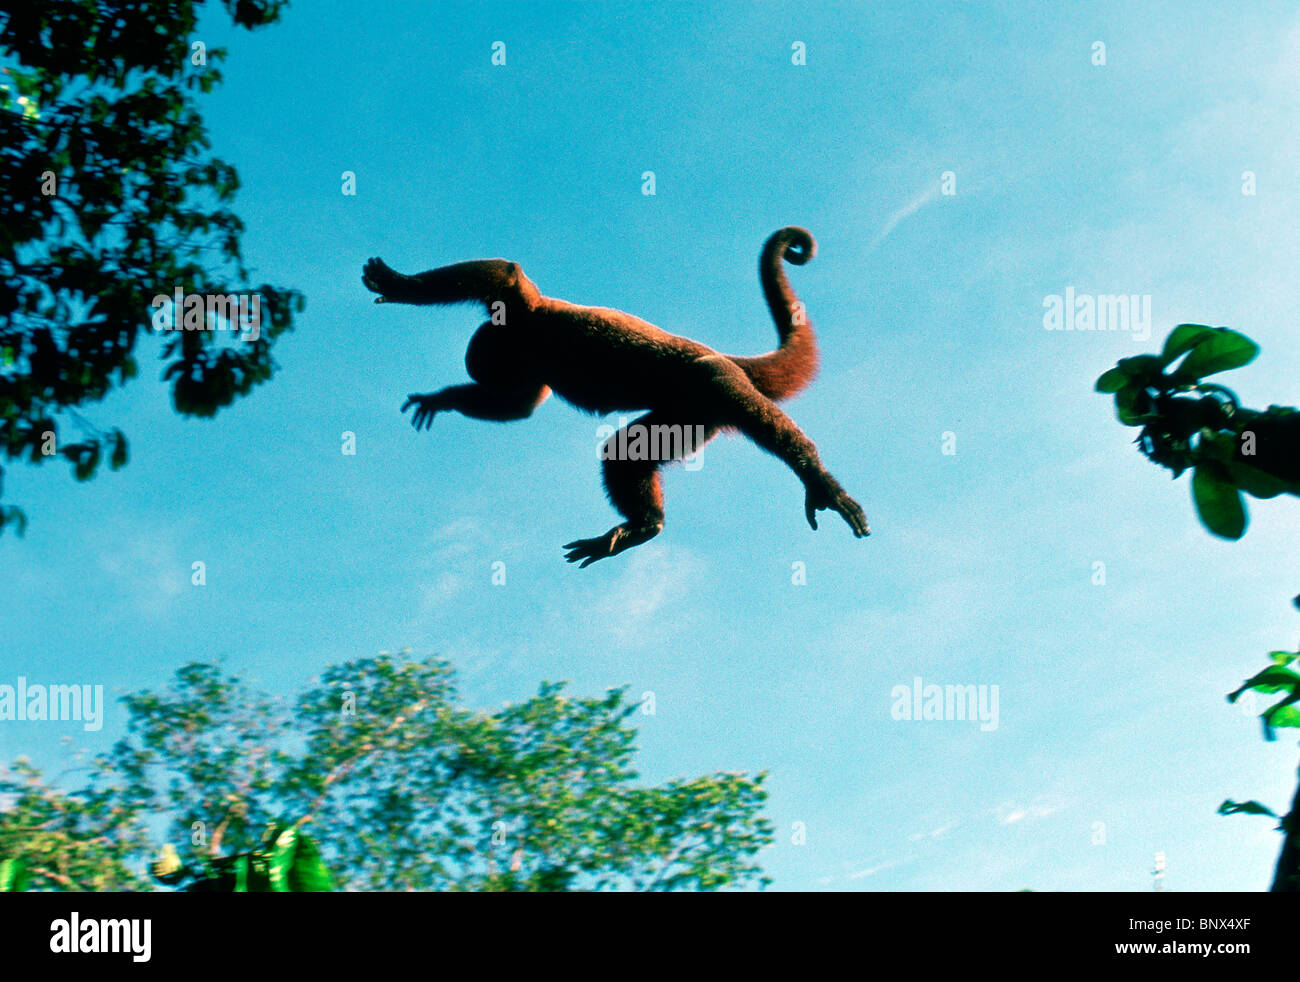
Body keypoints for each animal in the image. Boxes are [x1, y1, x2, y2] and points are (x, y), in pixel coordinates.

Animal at [362, 226, 869, 567]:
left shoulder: (525, 315)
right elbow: (522, 406)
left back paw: (817, 478)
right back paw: (645, 526)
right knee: (625, 453)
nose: (484, 376)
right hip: (690, 416)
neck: (523, 341)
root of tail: (719, 354)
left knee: (743, 413)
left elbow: (508, 275)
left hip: (710, 384)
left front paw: (402, 285)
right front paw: (442, 398)